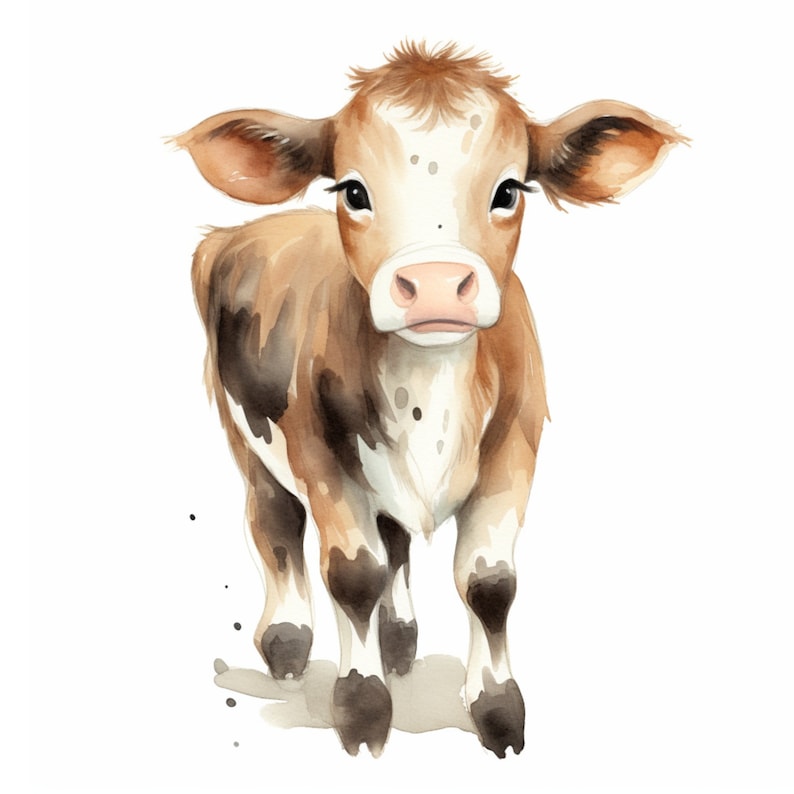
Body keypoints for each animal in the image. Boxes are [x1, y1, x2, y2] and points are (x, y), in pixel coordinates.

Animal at [176, 41, 684, 758]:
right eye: (354, 190)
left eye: (509, 190)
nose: (438, 283)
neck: (429, 387)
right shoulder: (318, 456)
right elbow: (352, 572)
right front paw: (361, 709)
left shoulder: (516, 448)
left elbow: (489, 582)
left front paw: (498, 710)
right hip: (245, 437)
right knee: (275, 525)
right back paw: (288, 644)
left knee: (396, 541)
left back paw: (399, 643)